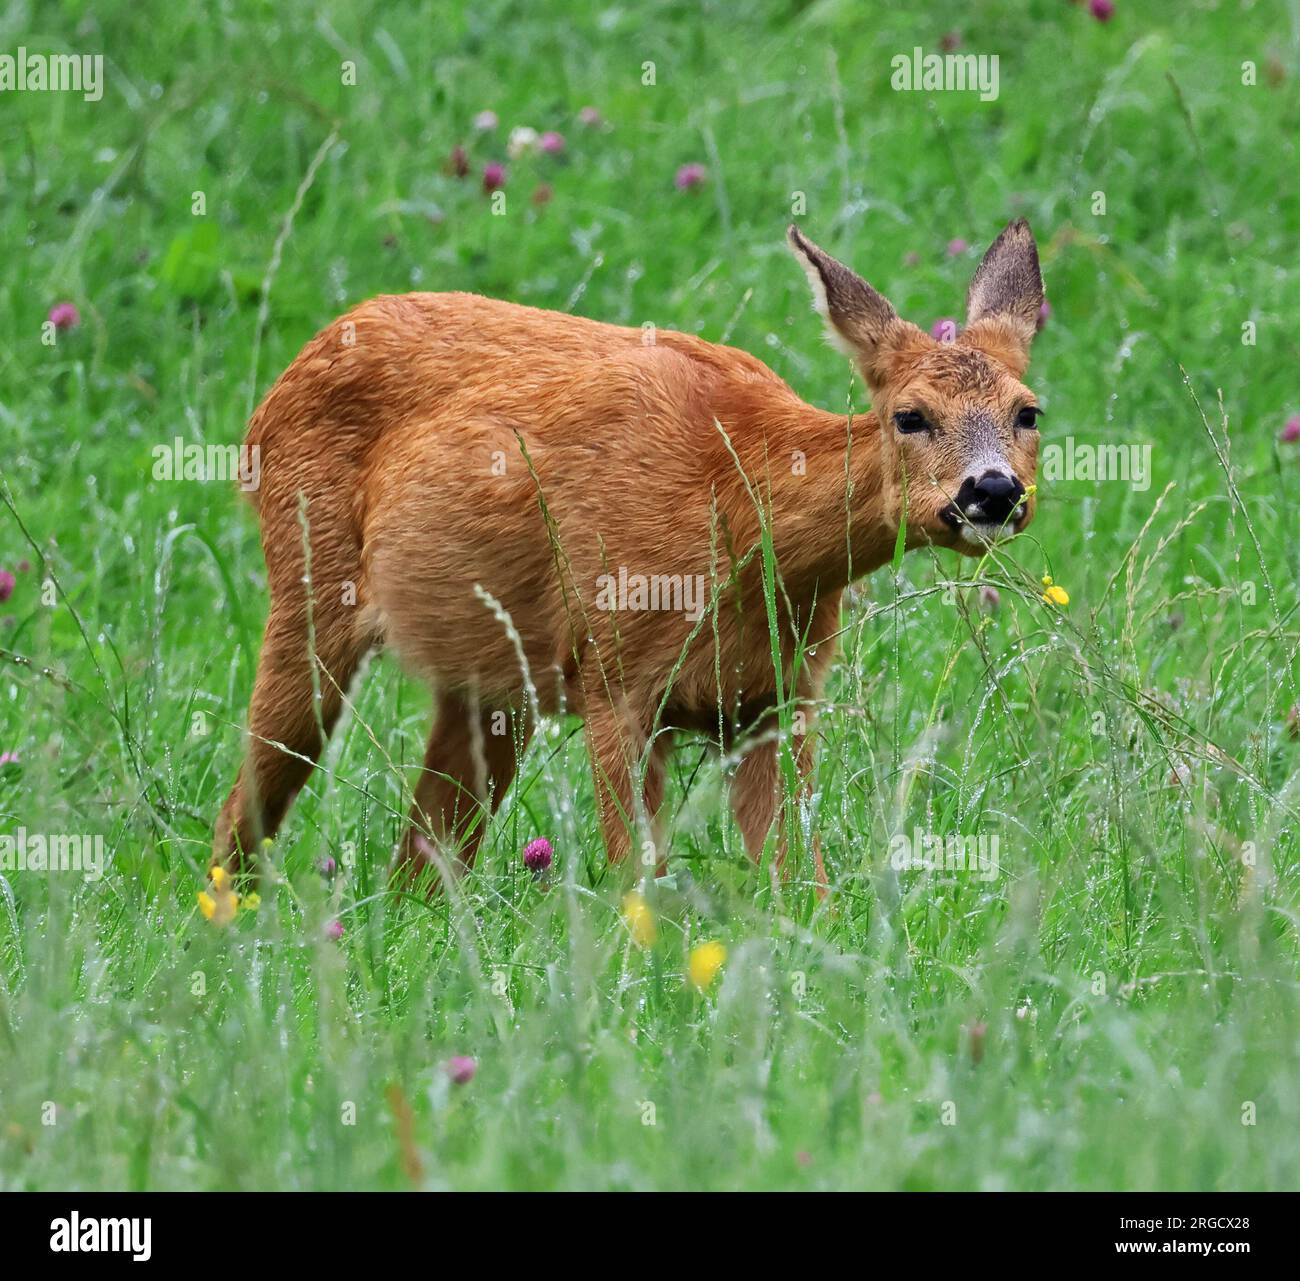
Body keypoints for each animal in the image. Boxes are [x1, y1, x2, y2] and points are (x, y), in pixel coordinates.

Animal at [212, 219, 1045, 891]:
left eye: (1028, 411)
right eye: (910, 415)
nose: (993, 490)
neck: (740, 516)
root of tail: (272, 396)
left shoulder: (778, 697)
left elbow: (799, 882)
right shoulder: (615, 677)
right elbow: (637, 881)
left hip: (490, 683)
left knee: (418, 859)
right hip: (310, 590)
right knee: (243, 807)